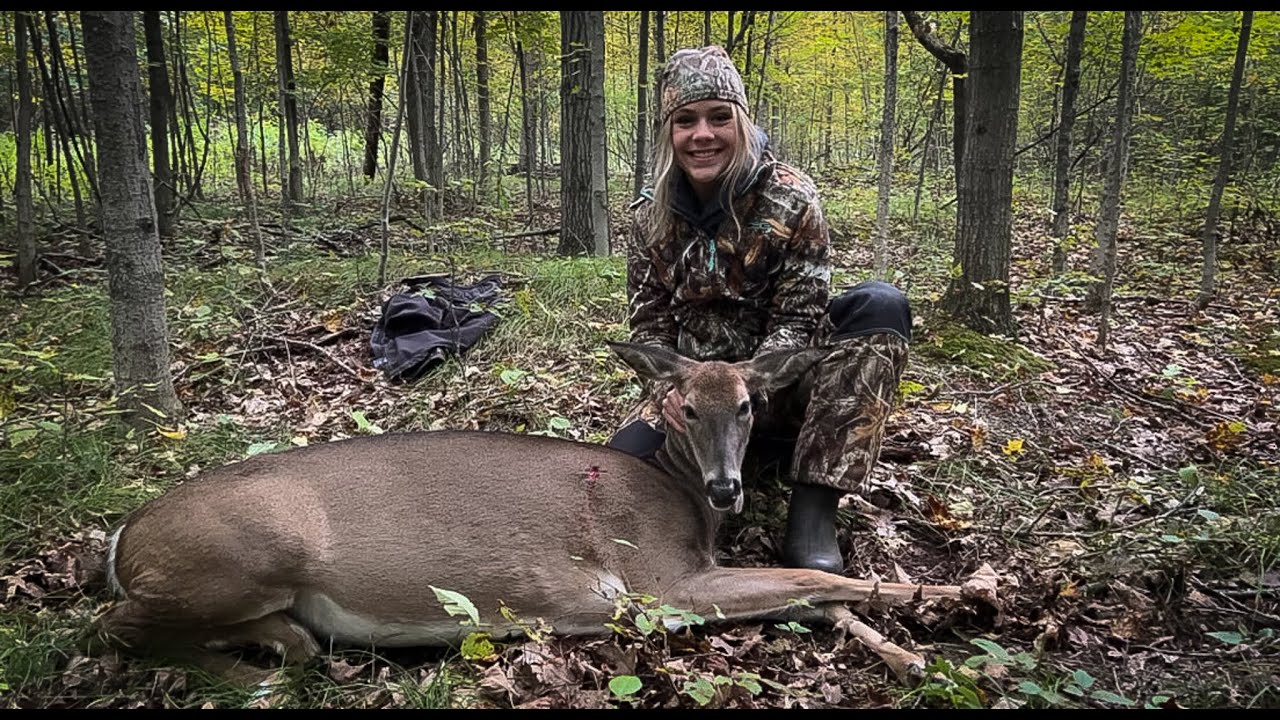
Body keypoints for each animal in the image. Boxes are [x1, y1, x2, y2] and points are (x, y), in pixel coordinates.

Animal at [93, 341, 996, 685]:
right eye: (684, 409)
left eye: (747, 406)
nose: (726, 490)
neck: (678, 499)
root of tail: (122, 538)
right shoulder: (655, 581)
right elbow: (821, 581)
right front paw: (965, 595)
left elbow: (820, 593)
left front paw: (916, 653)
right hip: (246, 552)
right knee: (116, 629)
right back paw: (256, 669)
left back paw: (284, 644)